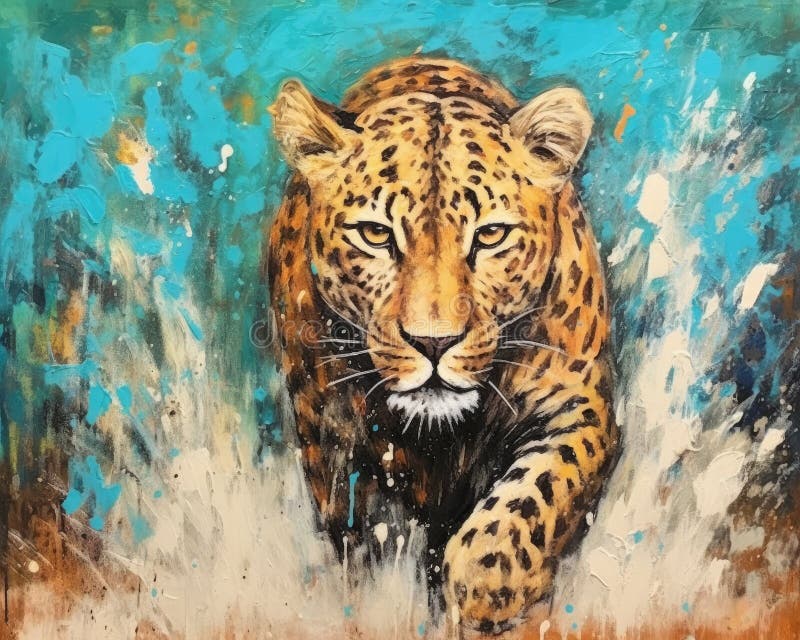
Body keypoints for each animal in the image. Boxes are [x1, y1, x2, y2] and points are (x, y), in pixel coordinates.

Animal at [265, 55, 620, 635]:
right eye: (376, 234)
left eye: (491, 235)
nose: (434, 343)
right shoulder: (336, 448)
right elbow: (369, 548)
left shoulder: (579, 404)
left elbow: (542, 485)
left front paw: (486, 575)